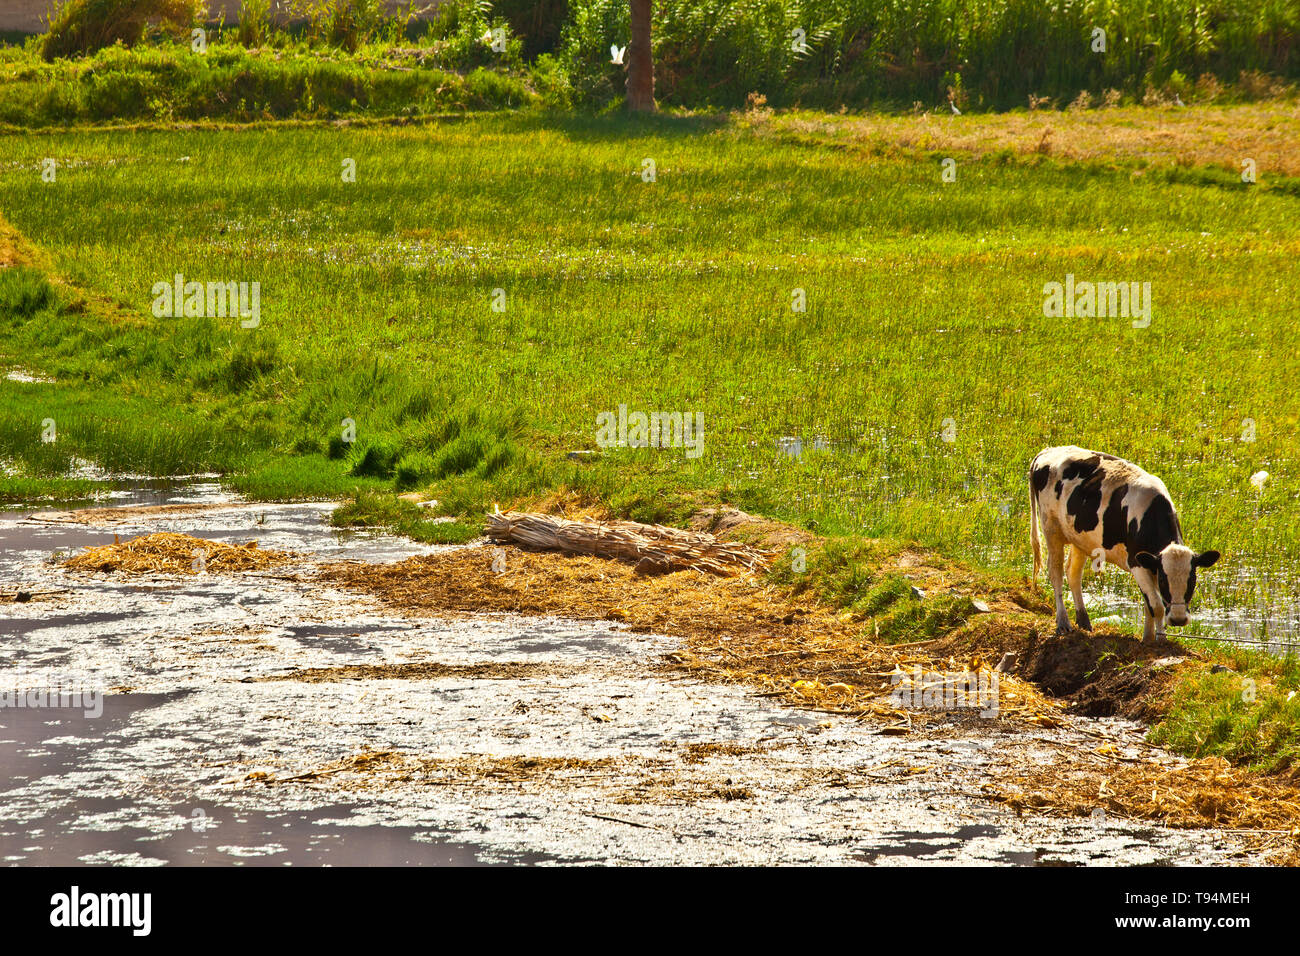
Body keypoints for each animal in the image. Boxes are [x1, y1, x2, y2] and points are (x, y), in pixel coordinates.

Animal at [1028, 446, 1219, 641]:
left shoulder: (1150, 562)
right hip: (1051, 529)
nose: (1179, 619)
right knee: (1056, 573)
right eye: (1164, 581)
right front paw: (1161, 640)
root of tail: (1049, 450)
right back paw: (1063, 622)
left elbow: (1148, 605)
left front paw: (1148, 638)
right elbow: (1156, 606)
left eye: (1192, 579)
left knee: (1073, 573)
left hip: (1079, 538)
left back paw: (1083, 620)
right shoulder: (1137, 563)